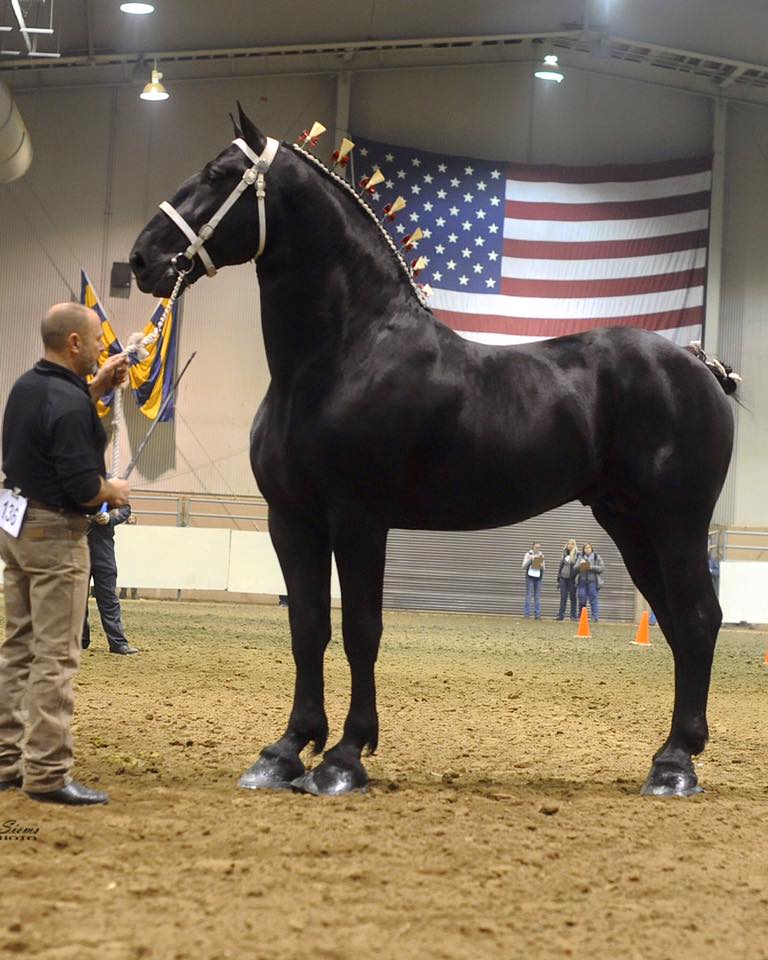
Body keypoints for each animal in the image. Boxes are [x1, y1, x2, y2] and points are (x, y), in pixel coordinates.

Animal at [130, 104, 737, 798]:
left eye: (218, 174)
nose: (142, 258)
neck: (343, 354)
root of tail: (697, 365)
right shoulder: (292, 520)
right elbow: (307, 627)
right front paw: (284, 751)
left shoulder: (359, 519)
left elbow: (361, 629)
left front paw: (344, 757)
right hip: (631, 526)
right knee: (677, 623)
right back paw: (672, 753)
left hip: (676, 524)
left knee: (698, 617)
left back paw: (676, 766)